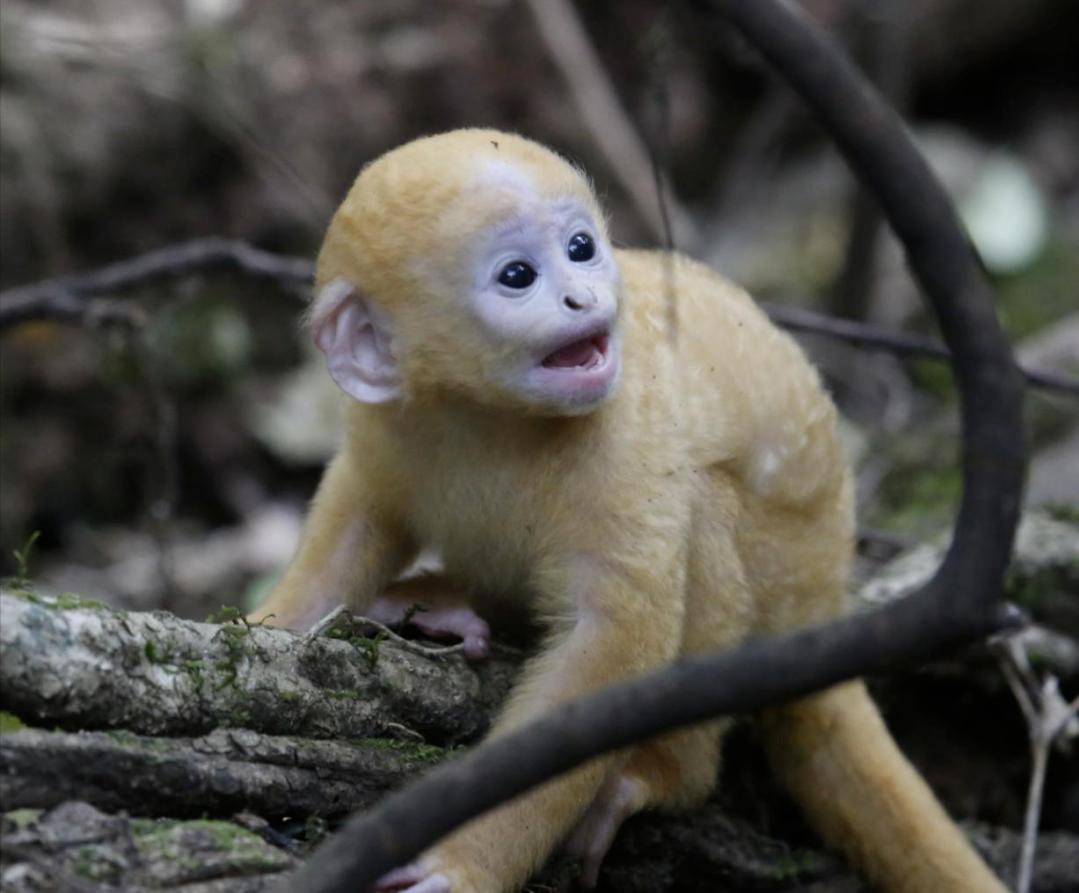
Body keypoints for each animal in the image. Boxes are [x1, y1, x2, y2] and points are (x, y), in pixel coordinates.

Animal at [249, 129, 1007, 893]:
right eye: (517, 275)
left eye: (581, 247)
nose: (582, 296)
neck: (486, 418)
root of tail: (824, 600)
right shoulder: (387, 425)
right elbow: (356, 521)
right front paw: (266, 625)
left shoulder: (618, 439)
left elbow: (610, 642)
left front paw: (461, 864)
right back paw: (438, 606)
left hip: (784, 570)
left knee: (703, 516)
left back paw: (663, 773)